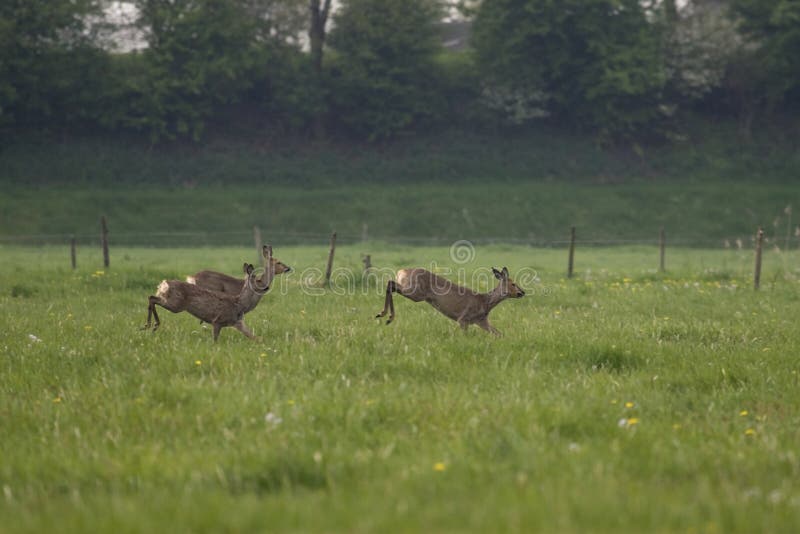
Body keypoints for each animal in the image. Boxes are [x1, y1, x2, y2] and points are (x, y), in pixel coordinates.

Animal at [375, 266, 525, 335]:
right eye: (513, 283)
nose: (522, 292)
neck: (485, 302)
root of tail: (401, 271)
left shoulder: (482, 321)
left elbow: (499, 334)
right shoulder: (463, 319)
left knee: (391, 284)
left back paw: (385, 316)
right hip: (416, 293)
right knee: (391, 283)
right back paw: (385, 315)